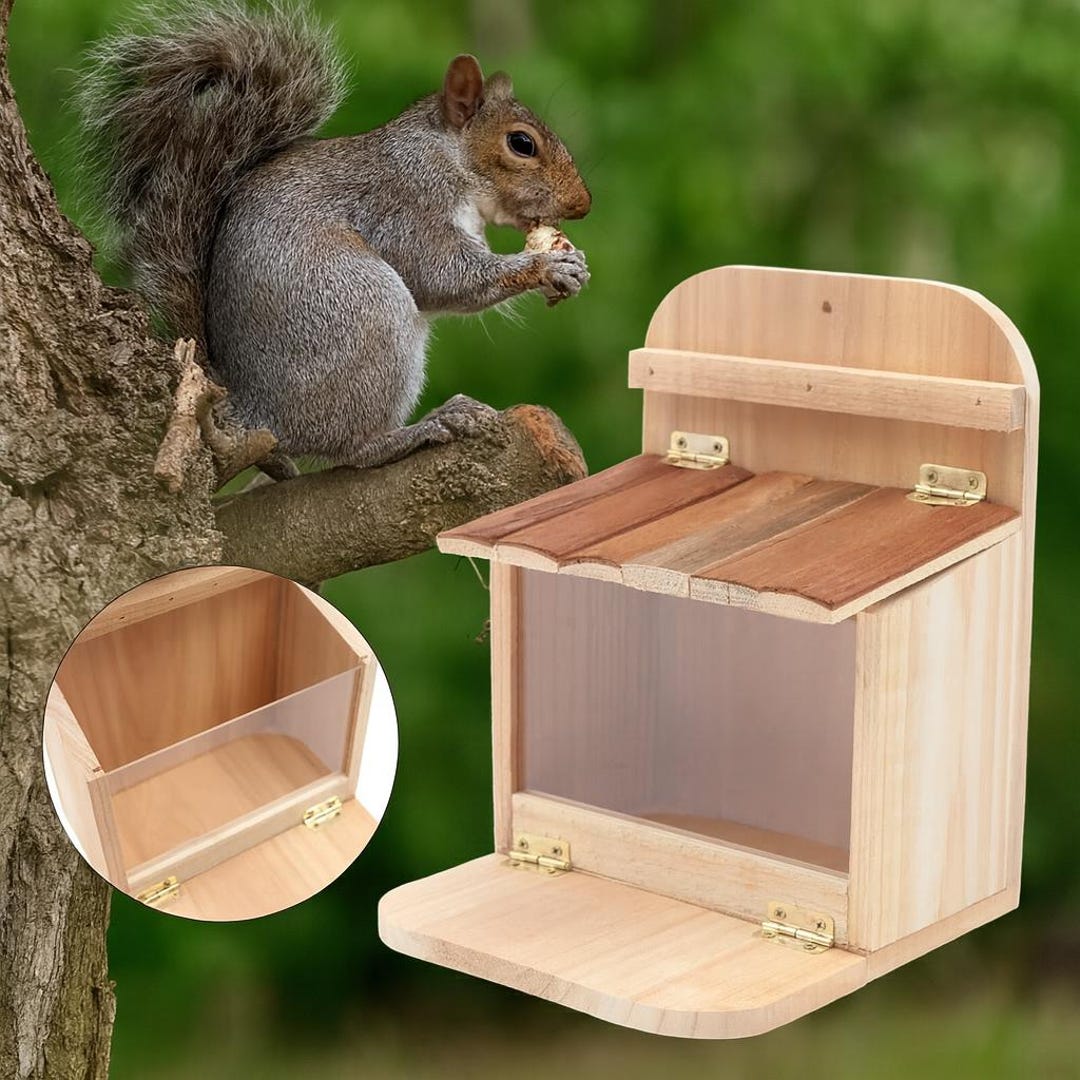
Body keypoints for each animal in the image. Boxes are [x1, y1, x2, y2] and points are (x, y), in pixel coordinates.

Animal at [78, 2, 591, 475]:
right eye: (521, 143)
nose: (582, 205)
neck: (445, 157)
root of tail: (252, 410)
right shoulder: (403, 205)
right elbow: (446, 277)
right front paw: (546, 266)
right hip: (367, 312)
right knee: (350, 451)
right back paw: (424, 426)